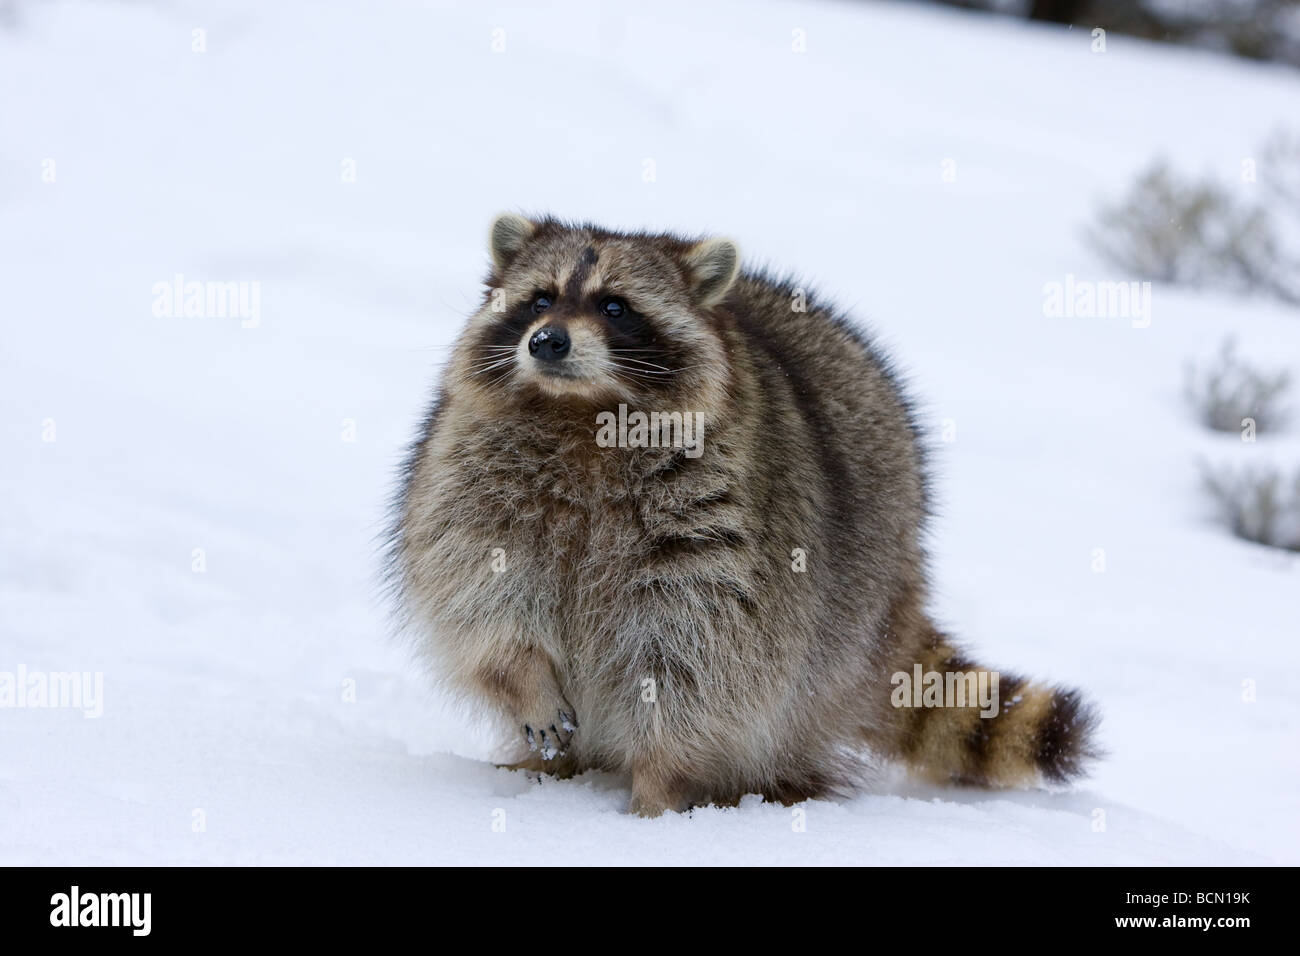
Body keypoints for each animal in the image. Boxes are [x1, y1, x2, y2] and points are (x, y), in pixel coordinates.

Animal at [391, 214, 1099, 816]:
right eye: (540, 299)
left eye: (615, 306)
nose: (547, 342)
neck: (583, 414)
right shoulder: (473, 476)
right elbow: (480, 590)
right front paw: (525, 676)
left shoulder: (723, 523)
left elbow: (697, 657)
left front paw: (656, 789)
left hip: (847, 624)